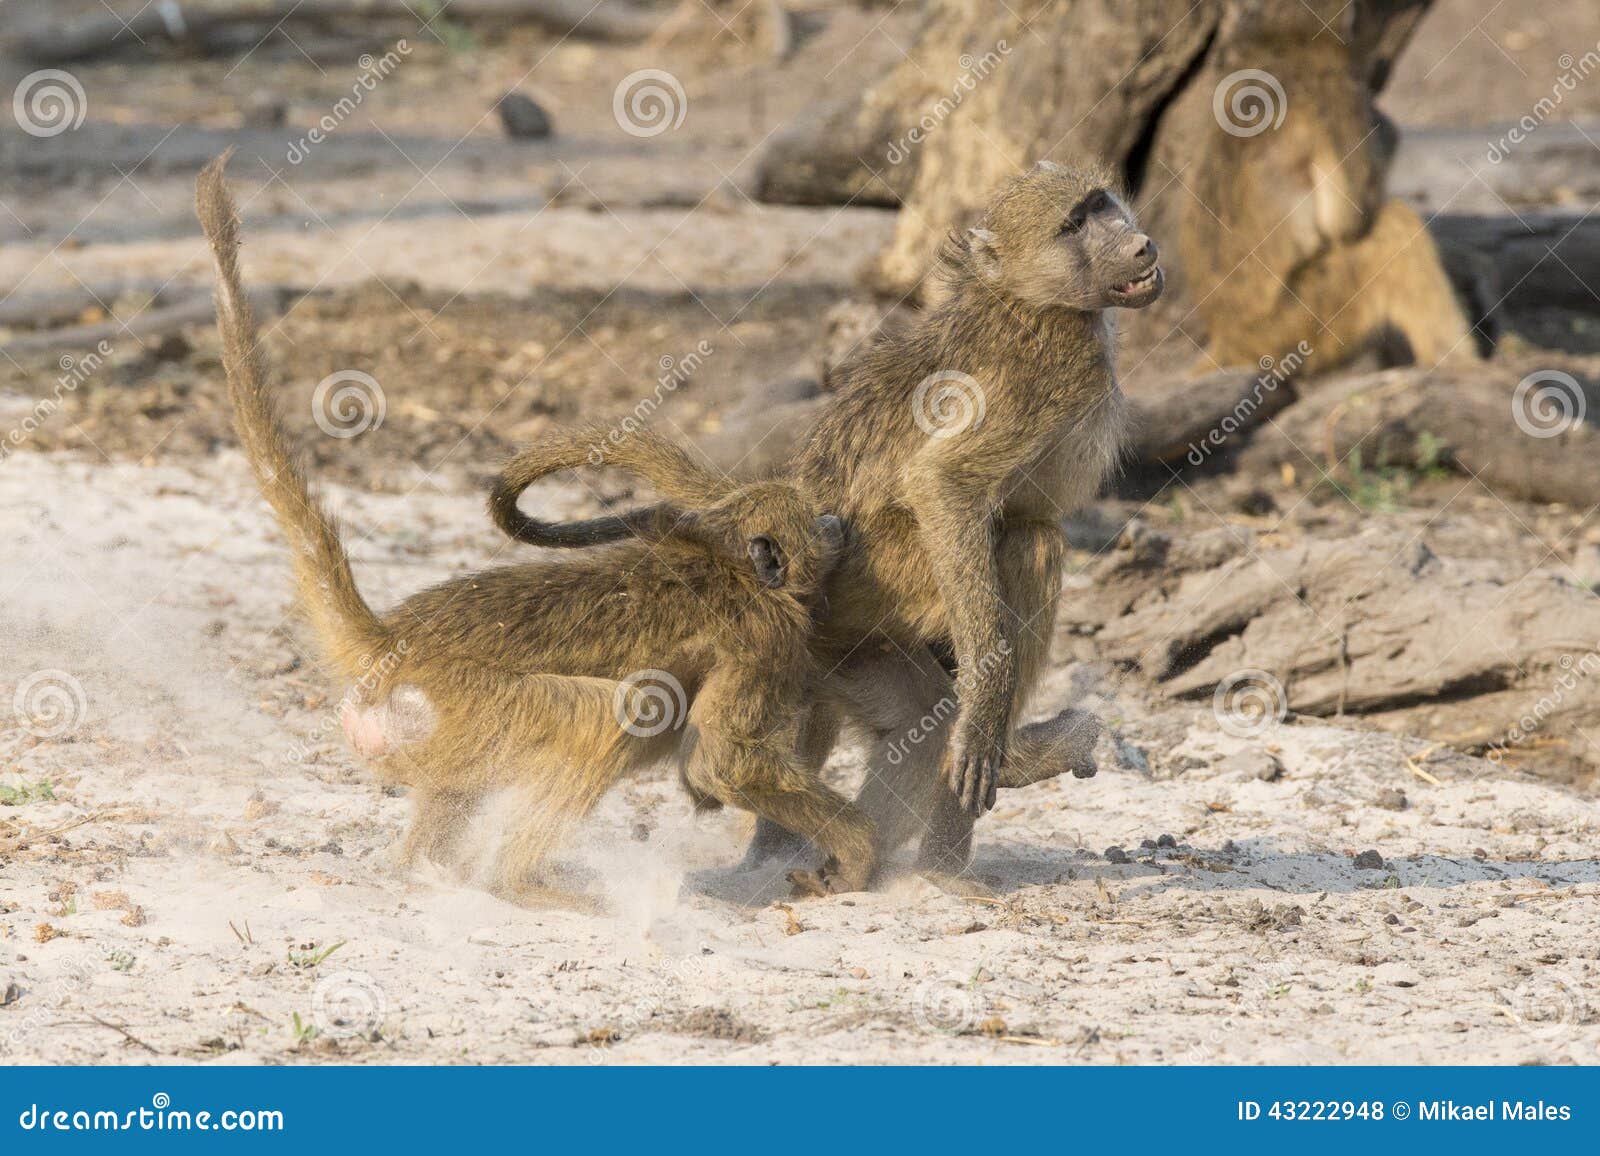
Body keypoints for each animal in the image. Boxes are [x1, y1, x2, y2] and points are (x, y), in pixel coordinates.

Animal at [194, 152, 879, 902]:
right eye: (812, 522)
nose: (836, 525)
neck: (732, 565)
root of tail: (392, 645)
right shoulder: (763, 641)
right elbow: (724, 766)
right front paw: (858, 856)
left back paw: (435, 872)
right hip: (470, 707)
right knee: (621, 710)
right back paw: (519, 884)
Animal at [491, 160, 1147, 878]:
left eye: (1103, 204)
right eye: (1074, 224)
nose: (1141, 246)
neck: (1027, 298)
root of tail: (803, 501)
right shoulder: (1057, 370)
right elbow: (944, 485)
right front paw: (986, 725)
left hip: (846, 635)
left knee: (908, 716)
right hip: (889, 580)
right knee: (1030, 541)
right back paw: (956, 843)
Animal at [1133, 0, 1479, 376]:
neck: (1290, 50)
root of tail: (1229, 337)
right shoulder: (1335, 94)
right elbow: (1348, 221)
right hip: (1301, 324)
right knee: (1393, 228)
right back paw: (1458, 362)